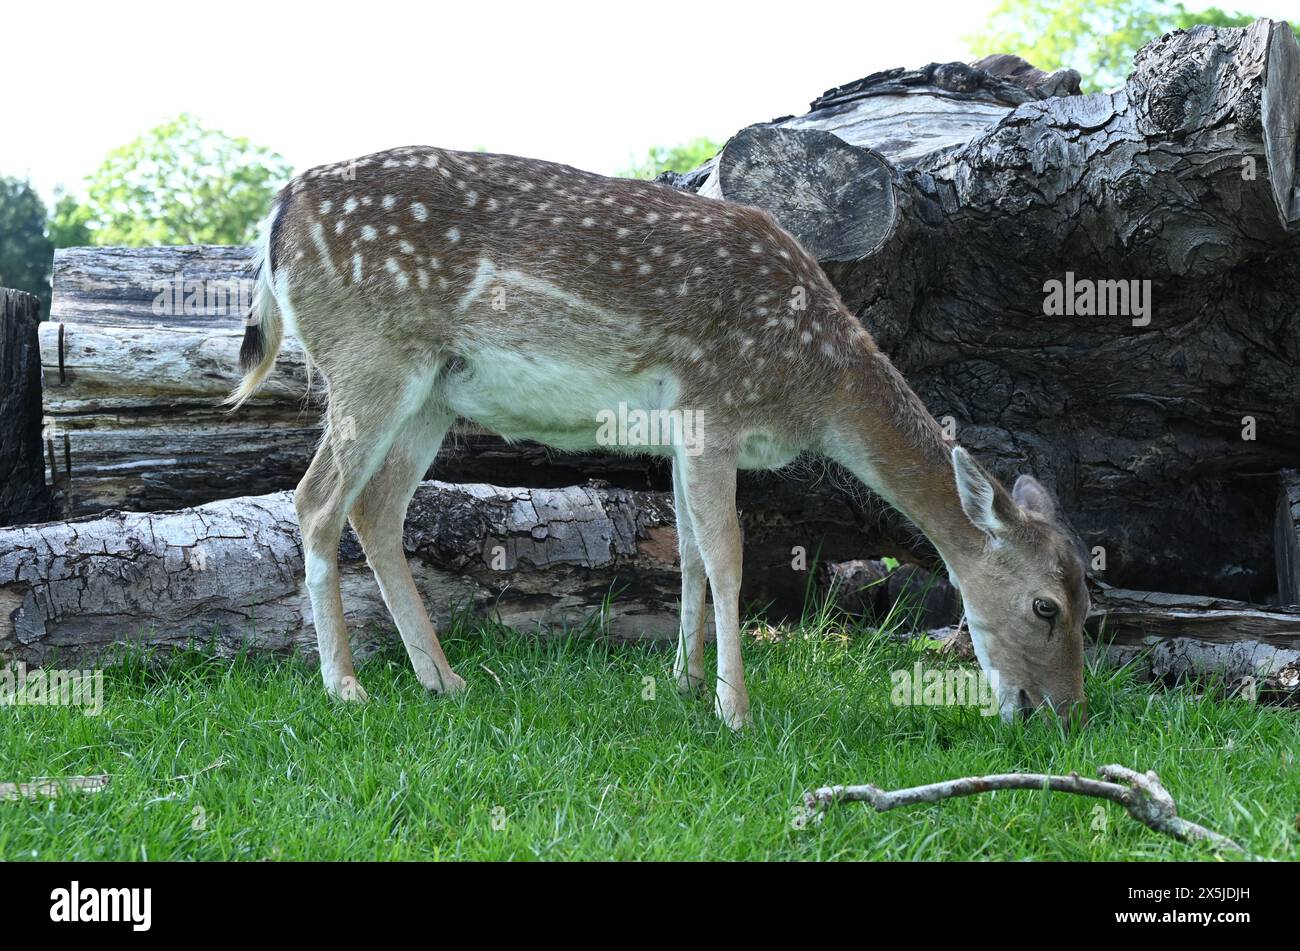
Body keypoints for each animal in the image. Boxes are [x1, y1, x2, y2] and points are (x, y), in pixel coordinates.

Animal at [227, 145, 1090, 730]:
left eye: (1089, 596)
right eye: (1046, 606)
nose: (1059, 711)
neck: (814, 380)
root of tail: (275, 214)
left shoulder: (677, 428)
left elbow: (689, 555)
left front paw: (685, 681)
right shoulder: (716, 402)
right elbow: (729, 552)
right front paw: (736, 709)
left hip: (432, 392)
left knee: (376, 508)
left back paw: (444, 679)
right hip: (367, 357)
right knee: (315, 500)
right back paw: (347, 685)